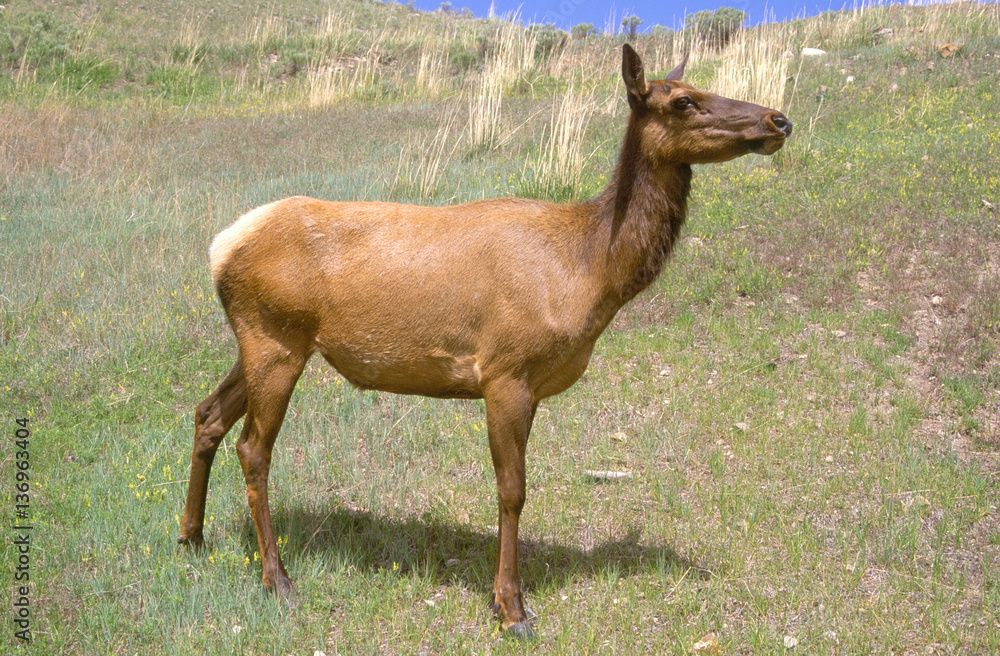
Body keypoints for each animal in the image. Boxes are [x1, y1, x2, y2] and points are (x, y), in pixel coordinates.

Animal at [178, 44, 791, 639]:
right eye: (684, 100)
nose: (778, 119)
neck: (587, 274)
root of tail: (219, 248)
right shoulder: (505, 372)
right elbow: (512, 489)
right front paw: (511, 608)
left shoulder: (533, 385)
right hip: (276, 339)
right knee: (253, 448)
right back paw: (277, 578)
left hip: (260, 341)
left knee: (207, 414)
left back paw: (191, 539)